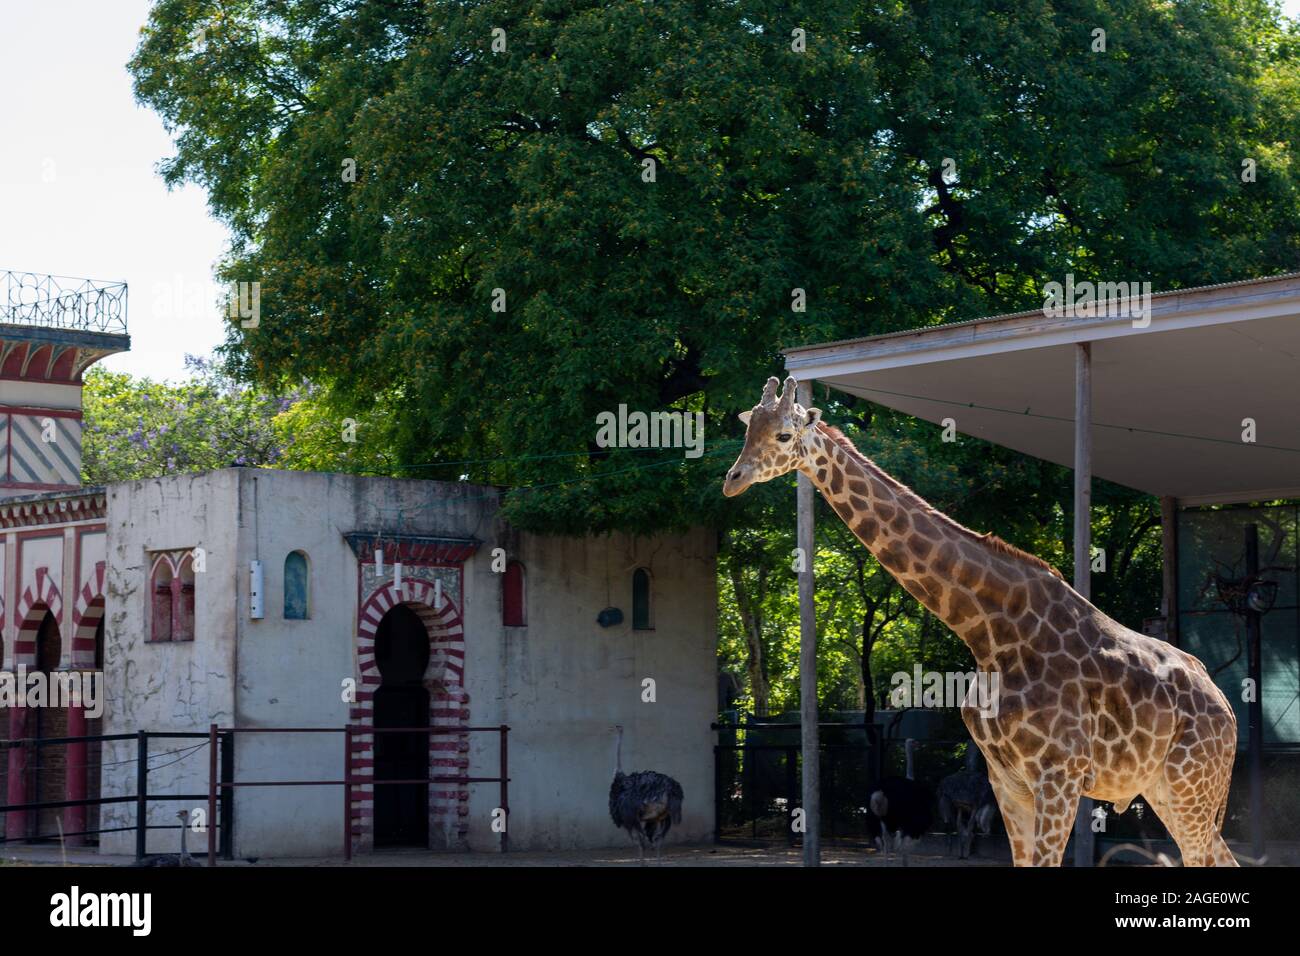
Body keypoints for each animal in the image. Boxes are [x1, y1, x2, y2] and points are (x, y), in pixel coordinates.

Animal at [723, 376, 1238, 867]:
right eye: (748, 430)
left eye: (783, 434)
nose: (733, 479)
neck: (987, 633)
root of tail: (1227, 709)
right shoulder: (1007, 780)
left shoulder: (1060, 776)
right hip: (1165, 790)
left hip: (1192, 785)